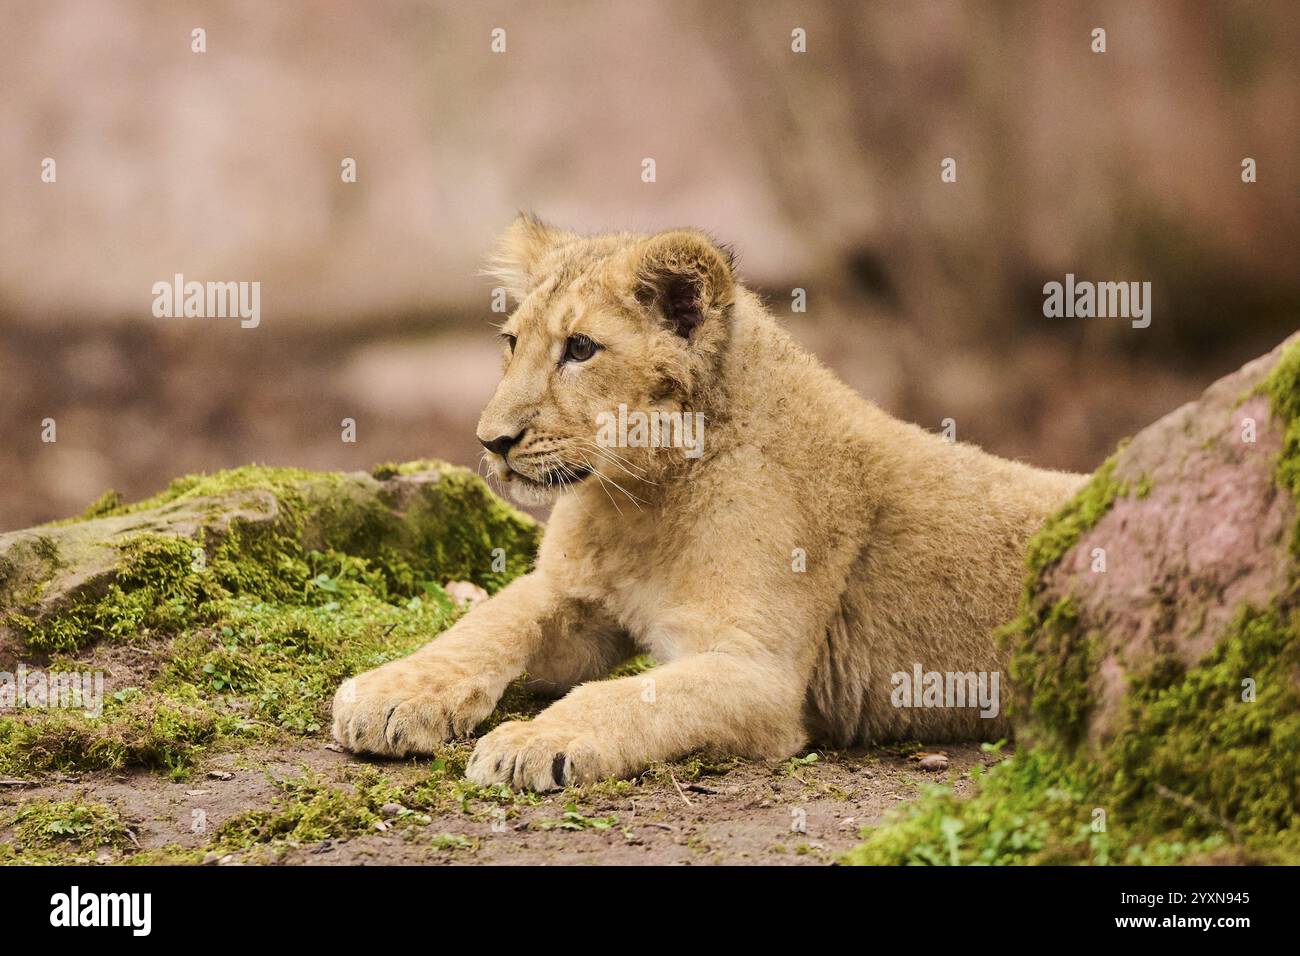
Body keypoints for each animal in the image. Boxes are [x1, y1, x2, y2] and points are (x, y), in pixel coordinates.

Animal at [331, 216, 1087, 790]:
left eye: (580, 348)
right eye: (512, 342)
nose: (491, 441)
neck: (640, 500)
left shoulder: (760, 673)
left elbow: (625, 693)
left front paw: (532, 742)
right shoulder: (571, 590)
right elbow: (489, 620)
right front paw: (389, 695)